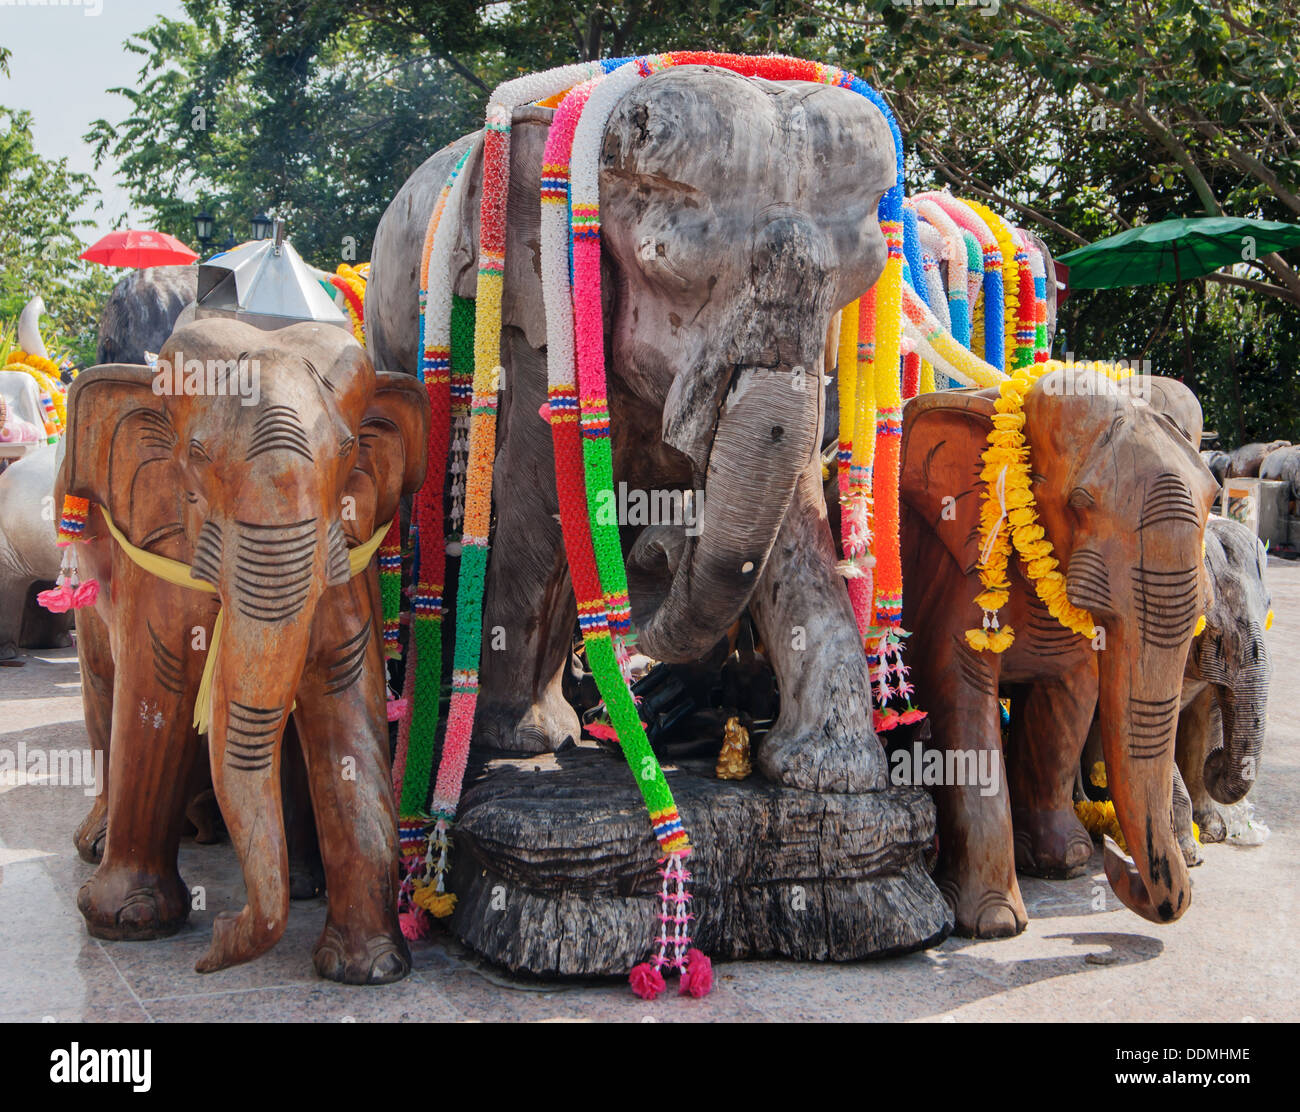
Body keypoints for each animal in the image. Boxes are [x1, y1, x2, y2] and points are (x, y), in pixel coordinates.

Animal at [58, 317, 430, 983]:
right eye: (198, 456)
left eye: (346, 451)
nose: (218, 940)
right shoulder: (158, 539)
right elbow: (160, 683)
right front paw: (129, 923)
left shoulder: (346, 544)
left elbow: (345, 685)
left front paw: (369, 968)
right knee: (102, 680)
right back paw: (102, 844)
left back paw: (290, 876)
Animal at [366, 66, 900, 792]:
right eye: (661, 259)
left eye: (862, 276)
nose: (659, 545)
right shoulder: (537, 318)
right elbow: (542, 499)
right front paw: (526, 739)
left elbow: (795, 519)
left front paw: (832, 773)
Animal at [900, 368, 1218, 937]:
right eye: (1081, 503)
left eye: (1214, 496)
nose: (1113, 854)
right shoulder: (957, 570)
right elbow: (960, 695)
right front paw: (995, 923)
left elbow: (1071, 696)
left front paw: (1064, 862)